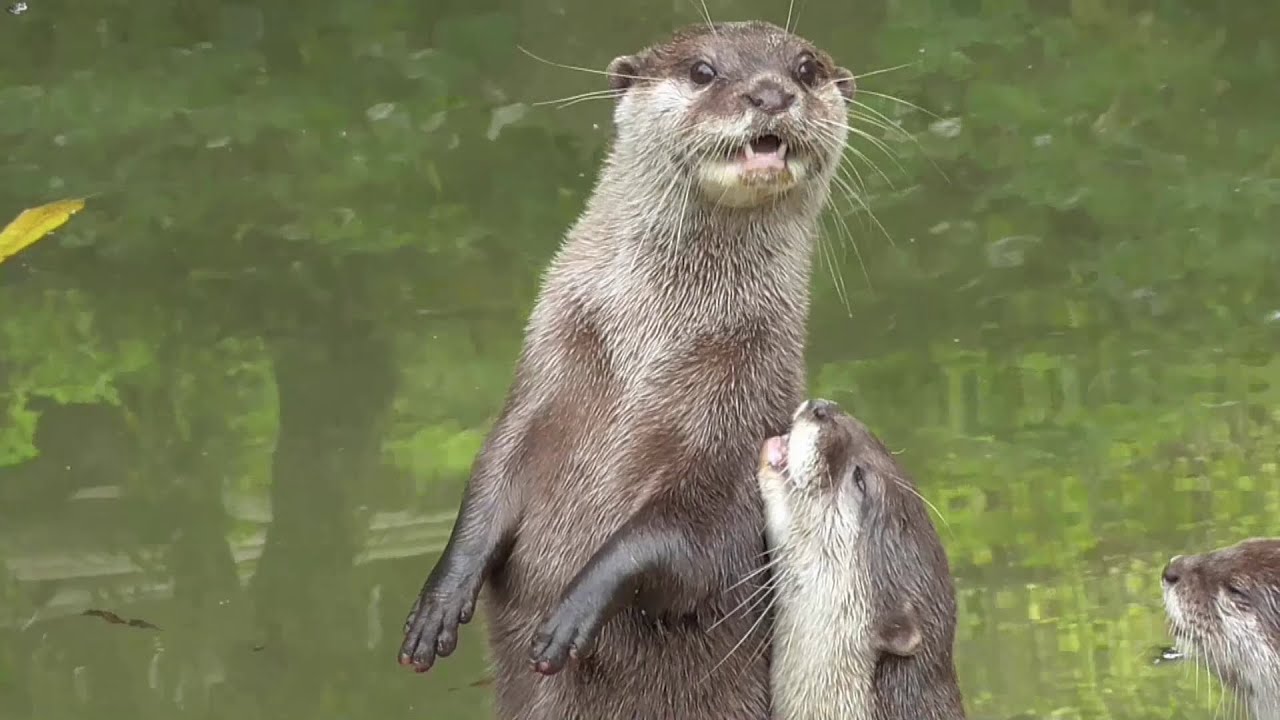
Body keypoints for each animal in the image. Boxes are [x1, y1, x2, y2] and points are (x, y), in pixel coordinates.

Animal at [397, 21, 856, 720]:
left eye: (806, 68)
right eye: (702, 70)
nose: (772, 93)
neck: (649, 341)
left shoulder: (741, 414)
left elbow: (691, 540)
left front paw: (574, 607)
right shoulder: (544, 376)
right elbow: (490, 477)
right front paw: (440, 601)